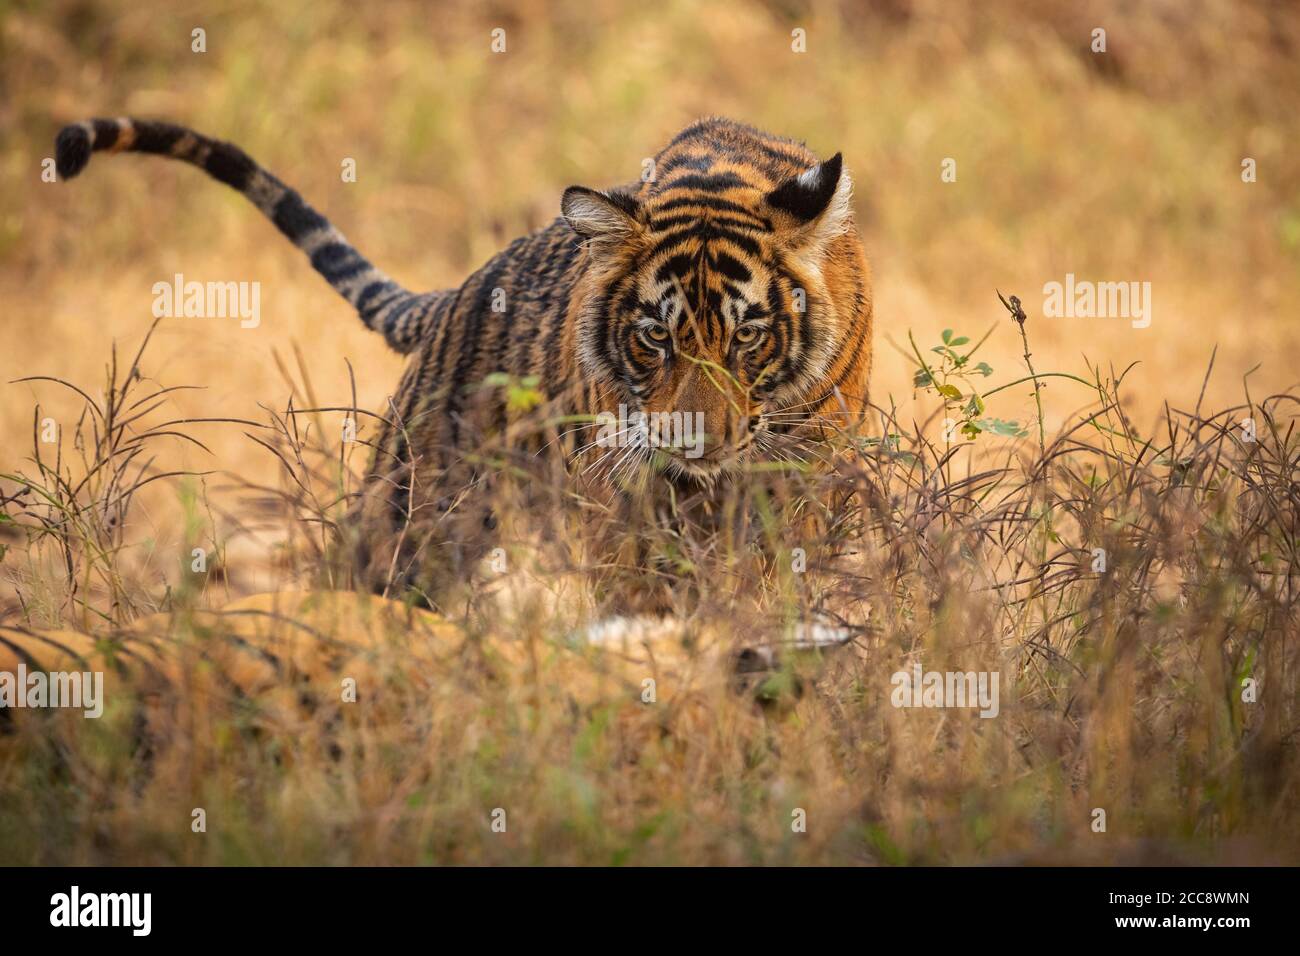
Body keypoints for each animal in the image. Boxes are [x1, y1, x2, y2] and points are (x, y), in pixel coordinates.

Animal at [53, 116, 873, 608]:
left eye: (747, 337)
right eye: (654, 337)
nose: (694, 444)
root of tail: (454, 297)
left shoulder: (807, 479)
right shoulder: (629, 494)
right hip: (406, 514)